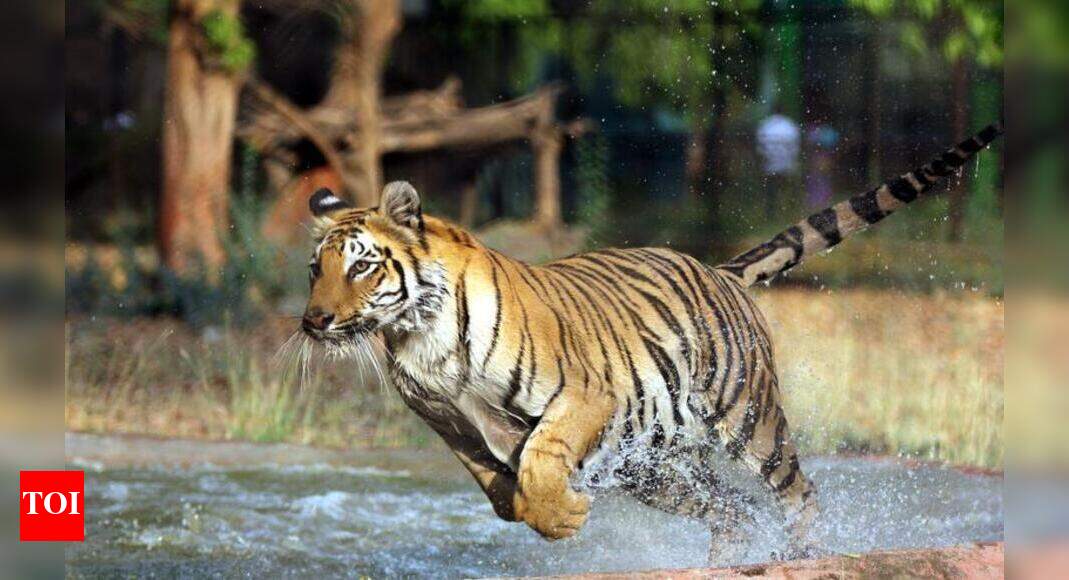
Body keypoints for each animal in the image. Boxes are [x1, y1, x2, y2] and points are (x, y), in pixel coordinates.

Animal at [299, 122, 1003, 562]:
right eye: (316, 268)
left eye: (362, 266)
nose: (313, 322)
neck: (418, 335)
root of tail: (720, 269)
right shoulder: (450, 422)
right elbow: (496, 485)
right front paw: (532, 505)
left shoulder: (583, 396)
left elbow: (539, 458)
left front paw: (560, 514)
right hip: (655, 465)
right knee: (733, 510)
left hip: (749, 421)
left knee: (798, 494)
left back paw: (801, 555)